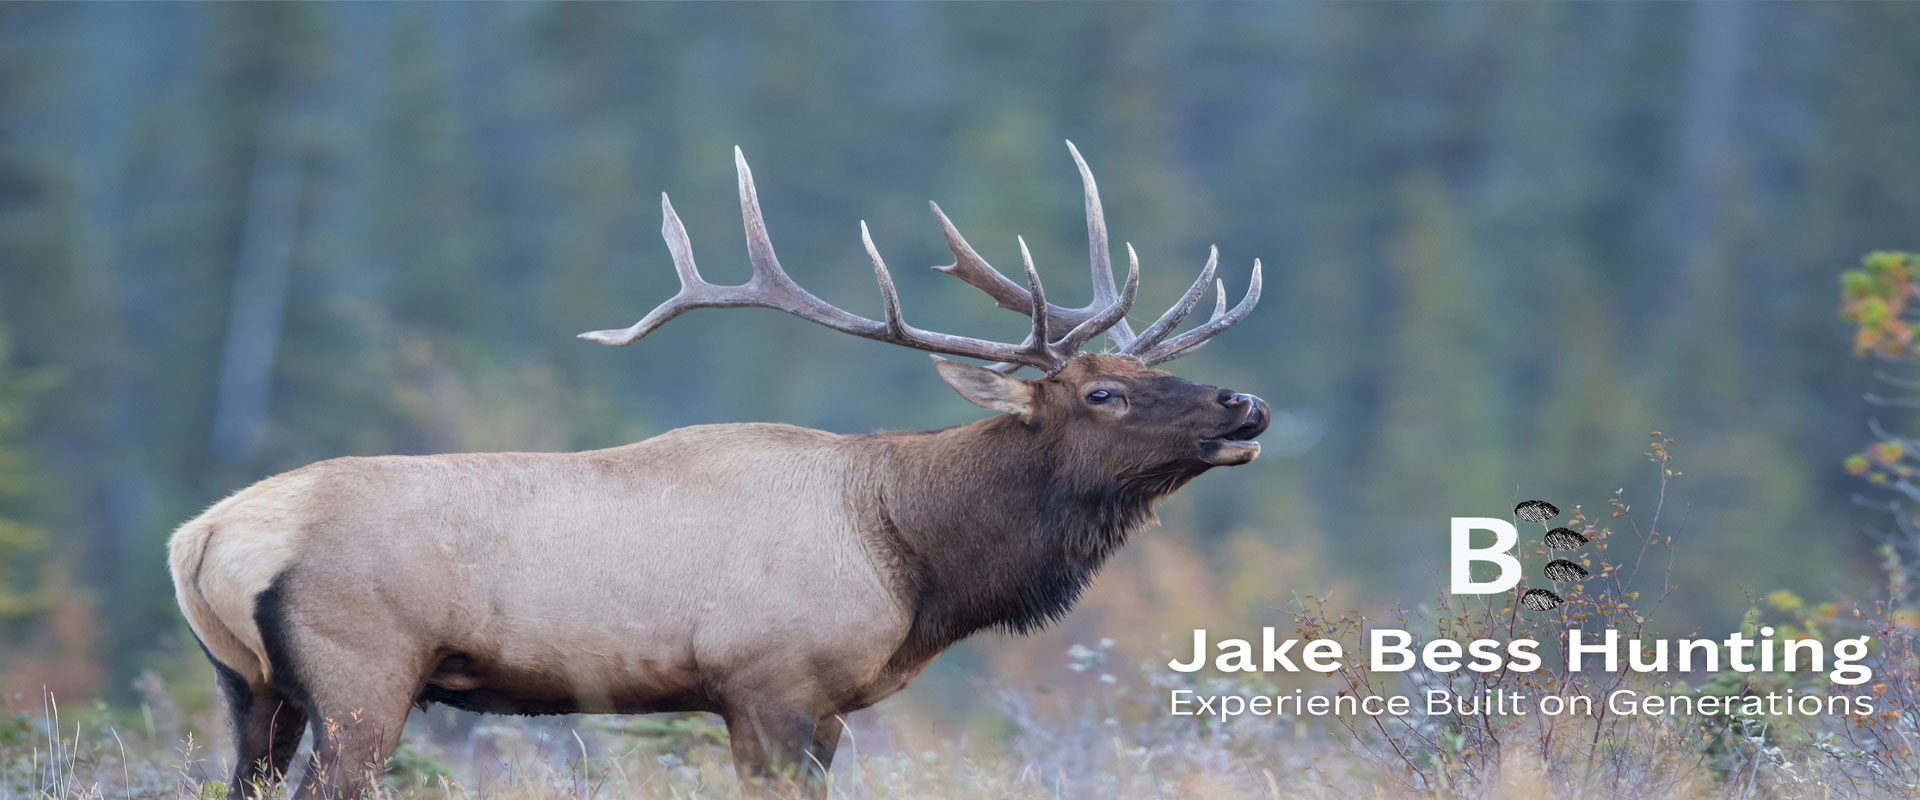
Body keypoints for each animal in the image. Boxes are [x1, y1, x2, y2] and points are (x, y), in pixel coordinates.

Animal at [167, 142, 1268, 798]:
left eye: (1145, 373)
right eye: (1104, 393)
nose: (1244, 405)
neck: (913, 557)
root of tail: (201, 535)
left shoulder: (824, 707)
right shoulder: (771, 681)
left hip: (251, 686)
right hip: (362, 673)